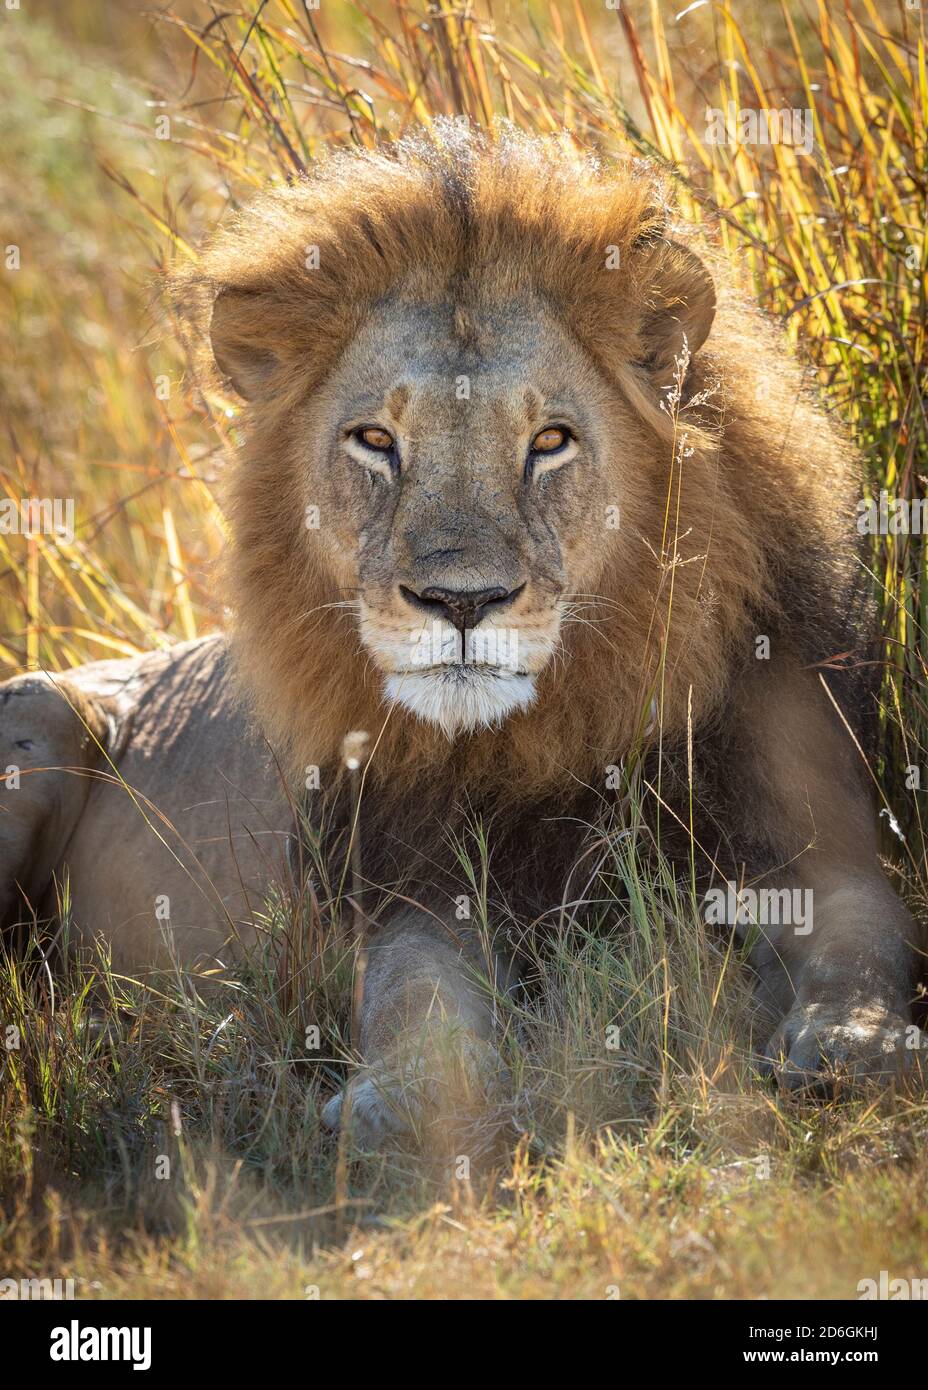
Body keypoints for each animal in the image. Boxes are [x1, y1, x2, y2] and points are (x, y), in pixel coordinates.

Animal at [2, 124, 923, 1142]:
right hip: (38, 711)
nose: (461, 601)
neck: (552, 726)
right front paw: (399, 1100)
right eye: (375, 441)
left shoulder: (816, 837)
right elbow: (417, 998)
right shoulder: (402, 883)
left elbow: (866, 931)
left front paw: (855, 1042)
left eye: (550, 441)